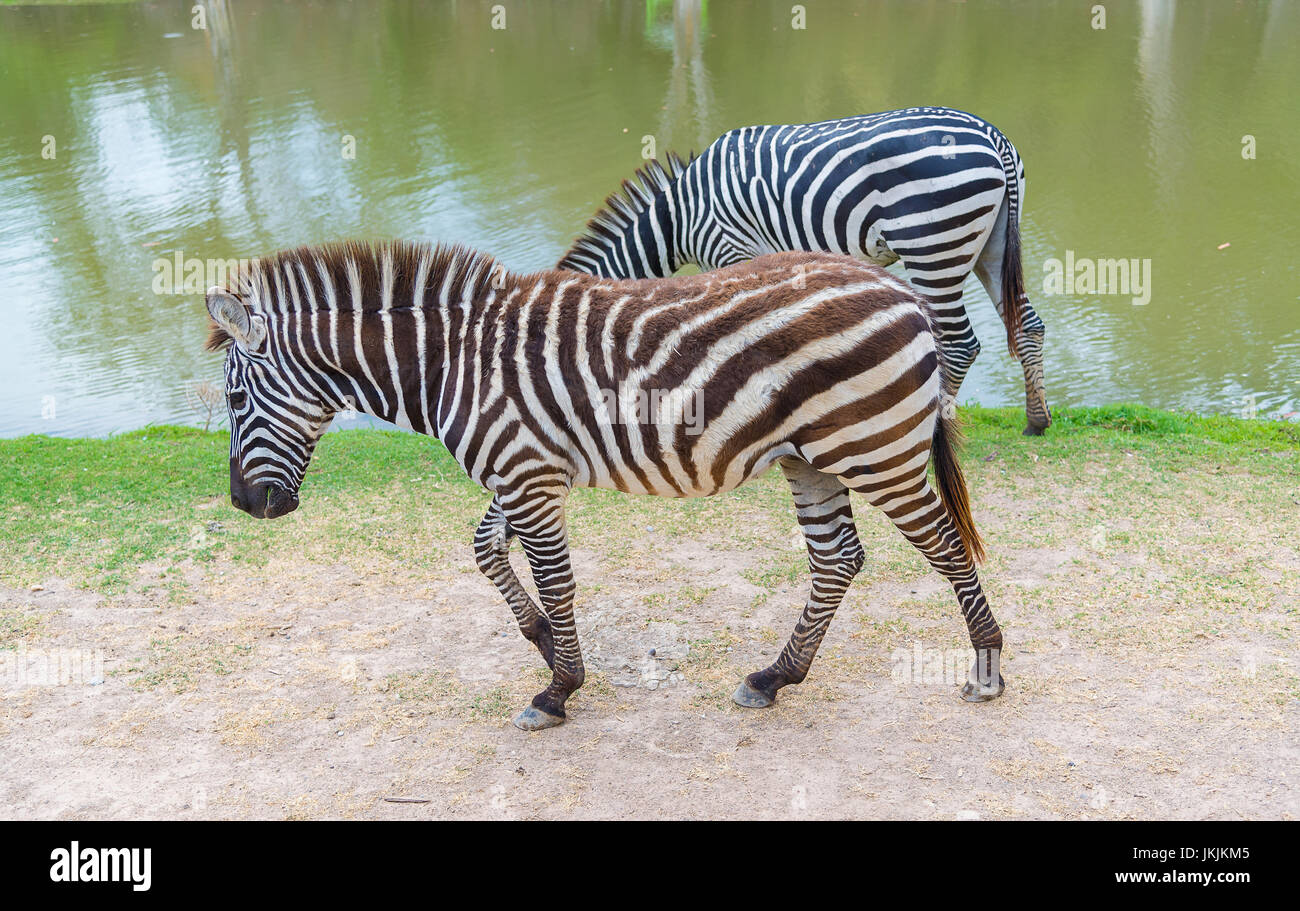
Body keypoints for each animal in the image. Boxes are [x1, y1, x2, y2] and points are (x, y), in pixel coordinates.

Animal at [203, 239, 1006, 730]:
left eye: (236, 401)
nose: (247, 505)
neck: (451, 364)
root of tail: (901, 288)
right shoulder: (522, 470)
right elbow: (485, 549)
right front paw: (538, 639)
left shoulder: (527, 476)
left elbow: (555, 579)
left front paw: (558, 688)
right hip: (811, 457)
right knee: (839, 559)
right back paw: (775, 677)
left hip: (874, 448)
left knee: (944, 545)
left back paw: (987, 665)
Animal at [558, 106, 1051, 435]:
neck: (679, 218)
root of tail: (993, 136)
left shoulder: (731, 252)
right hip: (992, 244)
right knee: (1029, 325)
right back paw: (1037, 420)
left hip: (934, 248)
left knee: (961, 344)